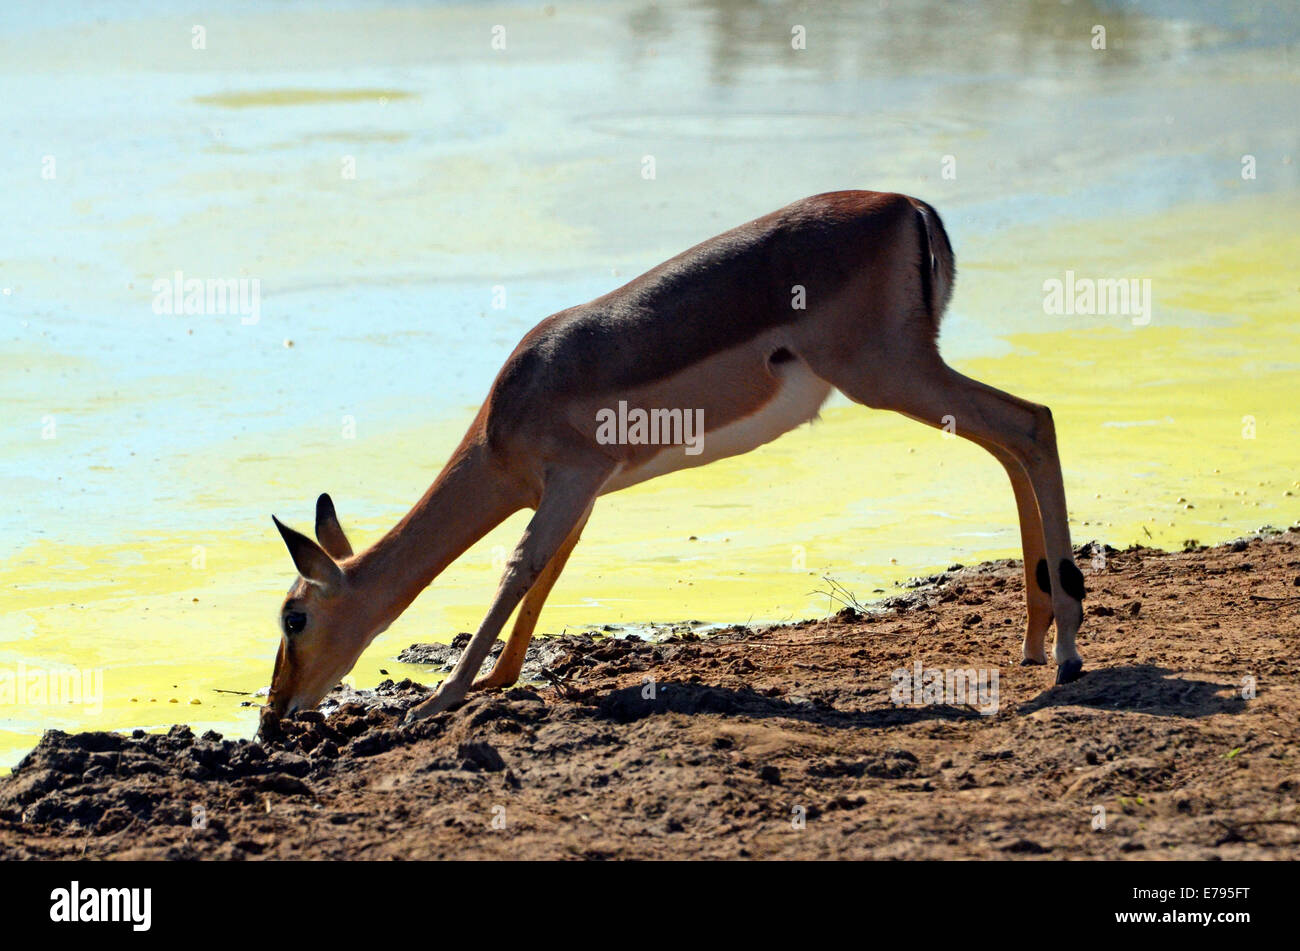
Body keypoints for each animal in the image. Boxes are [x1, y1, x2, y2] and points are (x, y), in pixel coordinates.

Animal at [264, 190, 1086, 726]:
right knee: (1014, 441)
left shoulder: (570, 480)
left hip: (889, 375)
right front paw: (500, 680)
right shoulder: (582, 495)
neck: (507, 417)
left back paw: (1069, 649)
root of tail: (909, 207)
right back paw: (1036, 641)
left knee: (1032, 423)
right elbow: (548, 572)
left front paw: (439, 699)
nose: (275, 713)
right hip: (907, 376)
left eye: (294, 617)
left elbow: (518, 568)